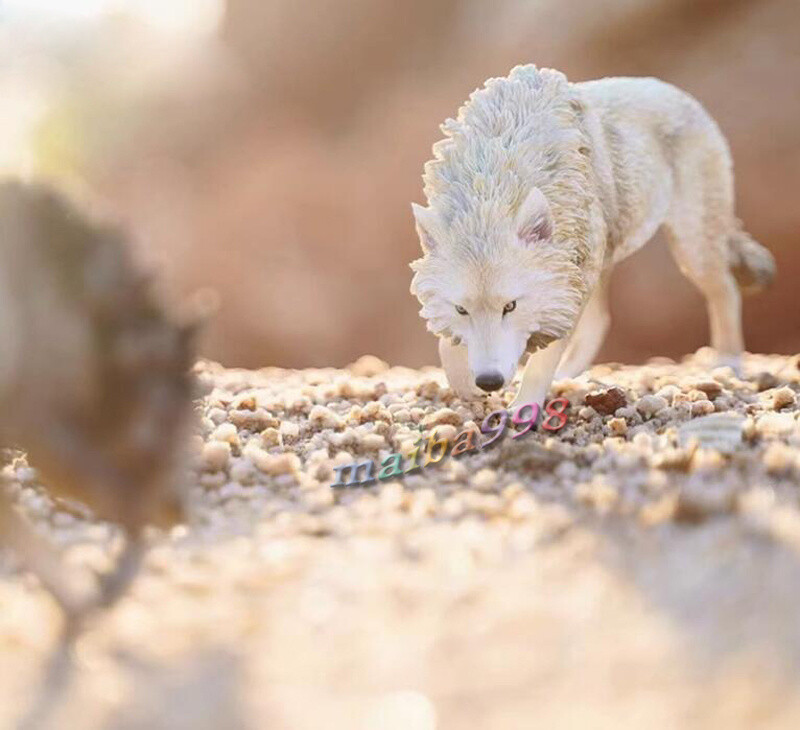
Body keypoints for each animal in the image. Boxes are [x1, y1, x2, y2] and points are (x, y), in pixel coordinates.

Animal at [410, 65, 774, 408]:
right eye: (461, 309)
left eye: (510, 306)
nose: (489, 382)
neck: (498, 176)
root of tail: (680, 94)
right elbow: (446, 344)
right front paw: (465, 385)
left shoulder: (563, 287)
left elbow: (540, 362)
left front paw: (523, 408)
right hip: (600, 263)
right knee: (601, 320)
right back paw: (567, 376)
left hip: (691, 247)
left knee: (725, 291)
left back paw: (728, 363)